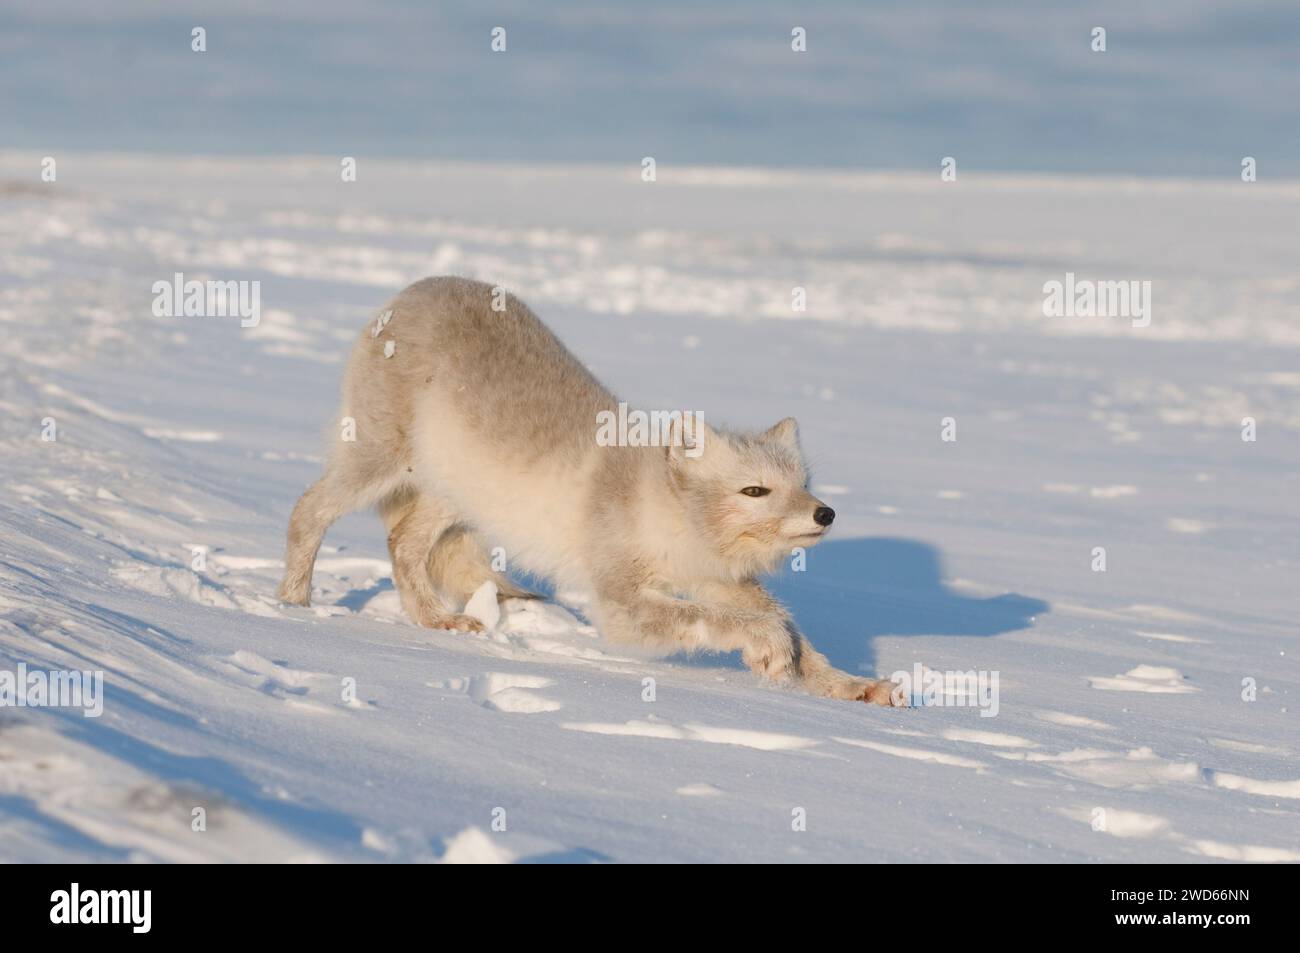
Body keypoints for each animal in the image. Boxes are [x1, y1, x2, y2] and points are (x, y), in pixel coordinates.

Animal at [277, 276, 904, 706]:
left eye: (802, 485)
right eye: (755, 490)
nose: (825, 514)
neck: (664, 513)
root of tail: (414, 288)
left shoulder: (712, 577)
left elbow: (792, 630)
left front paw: (852, 685)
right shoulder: (622, 601)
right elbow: (728, 621)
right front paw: (767, 647)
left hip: (451, 494)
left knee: (405, 544)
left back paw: (437, 620)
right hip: (380, 461)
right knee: (308, 510)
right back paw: (292, 604)